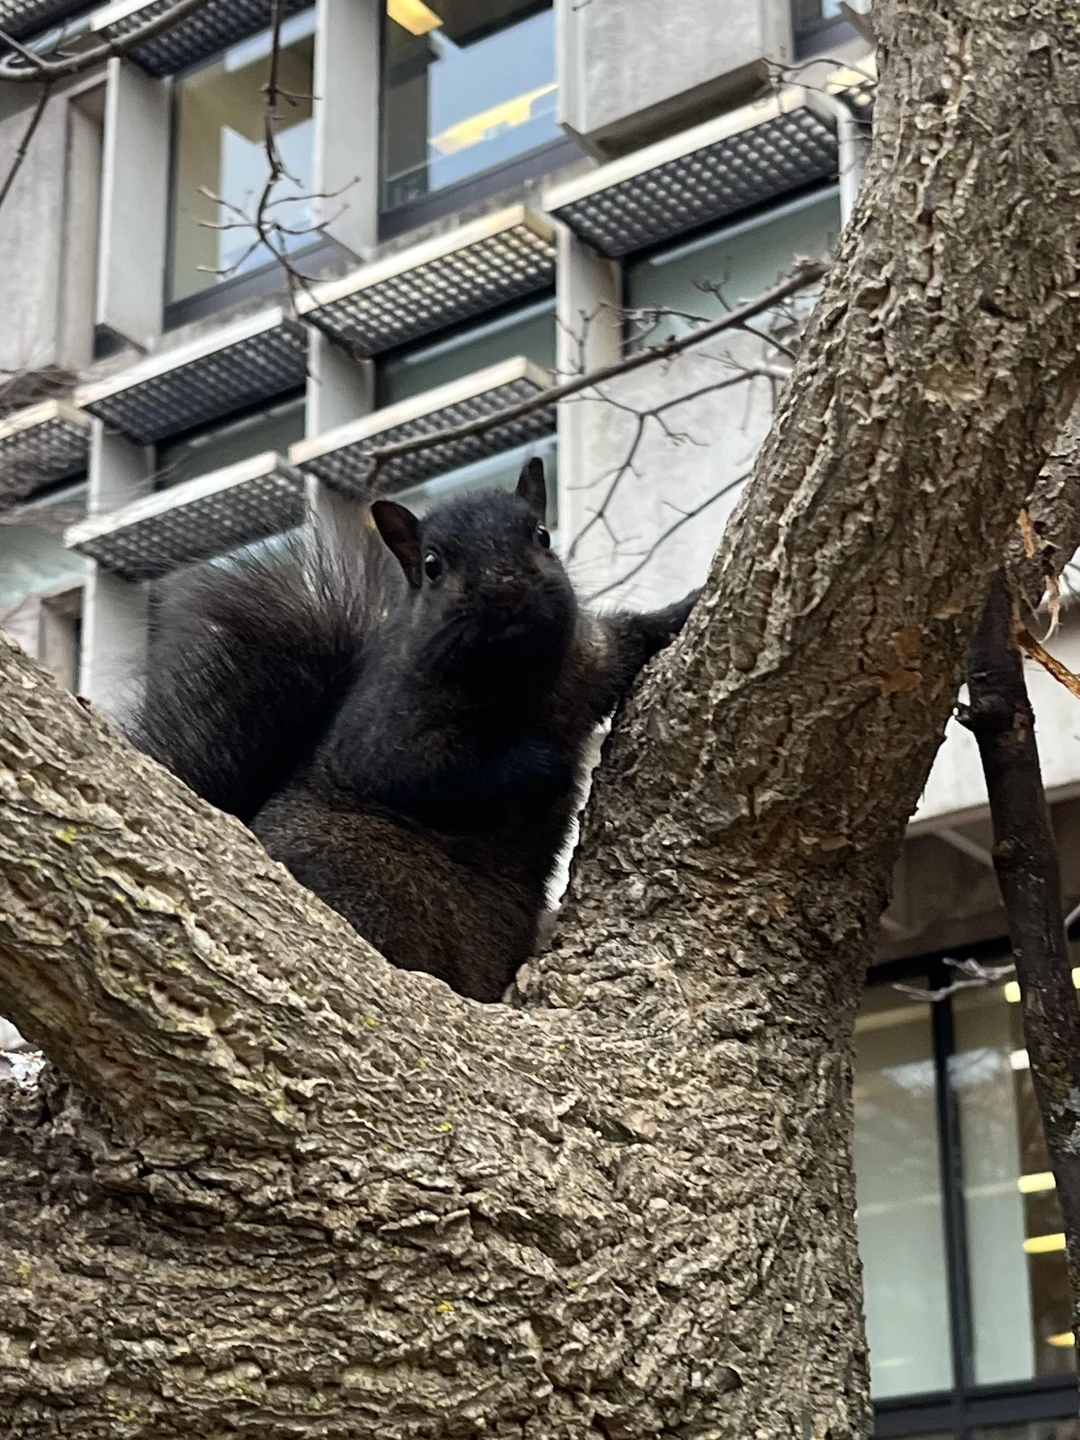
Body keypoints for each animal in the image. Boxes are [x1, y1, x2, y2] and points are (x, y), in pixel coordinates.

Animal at [127, 459, 699, 1002]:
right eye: (431, 565)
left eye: (541, 535)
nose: (506, 588)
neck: (516, 675)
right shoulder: (387, 731)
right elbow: (435, 774)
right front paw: (546, 765)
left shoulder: (588, 658)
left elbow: (628, 640)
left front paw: (683, 609)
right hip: (363, 881)